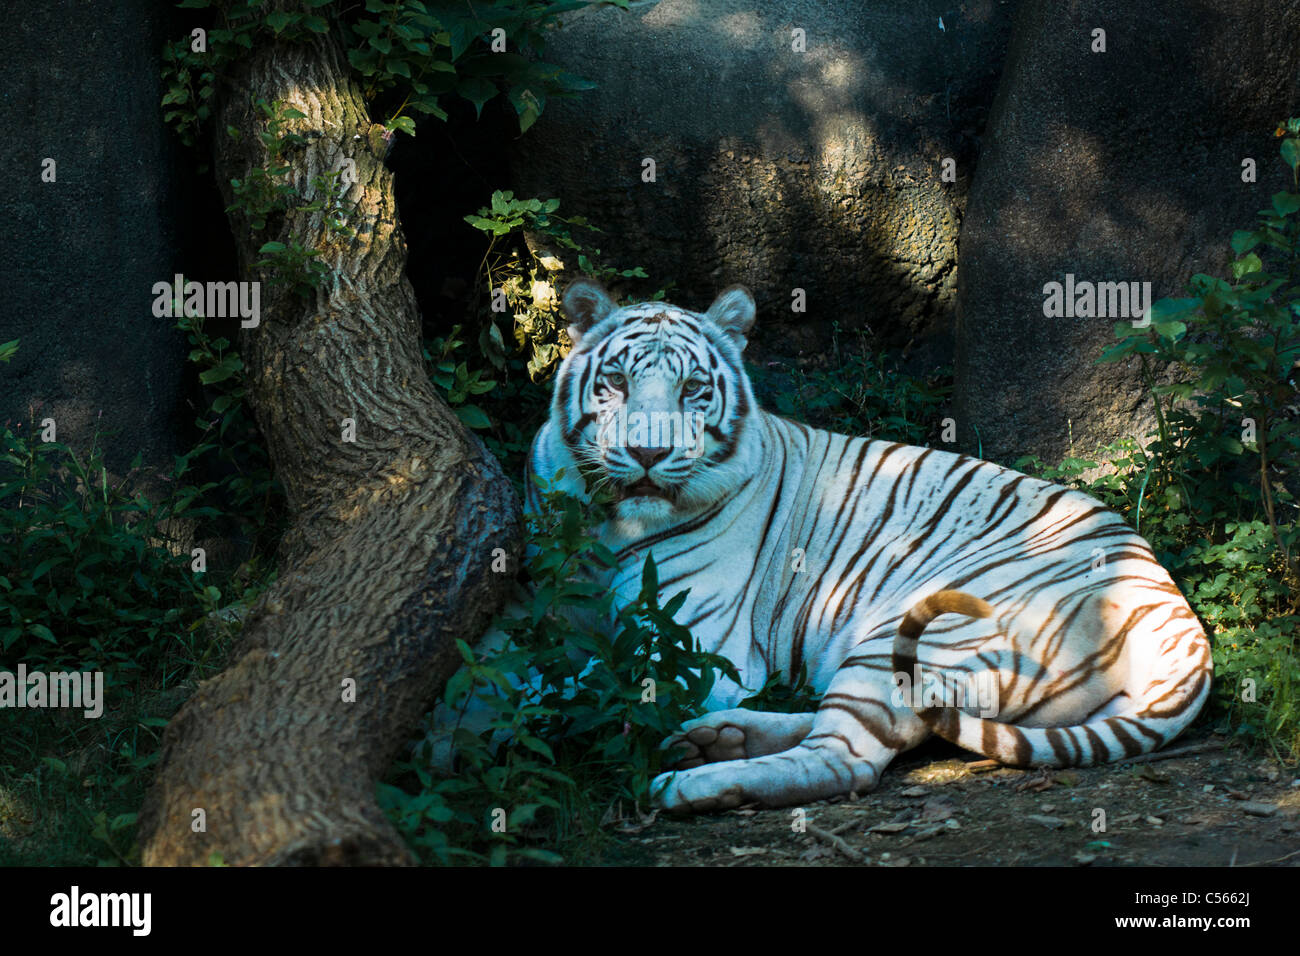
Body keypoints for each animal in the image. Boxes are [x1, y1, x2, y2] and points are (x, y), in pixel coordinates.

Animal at [520, 277, 1214, 813]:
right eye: (614, 382)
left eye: (693, 389)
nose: (647, 453)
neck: (609, 523)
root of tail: (1176, 616)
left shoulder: (689, 649)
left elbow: (574, 682)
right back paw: (714, 738)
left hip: (918, 630)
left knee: (846, 759)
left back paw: (694, 781)